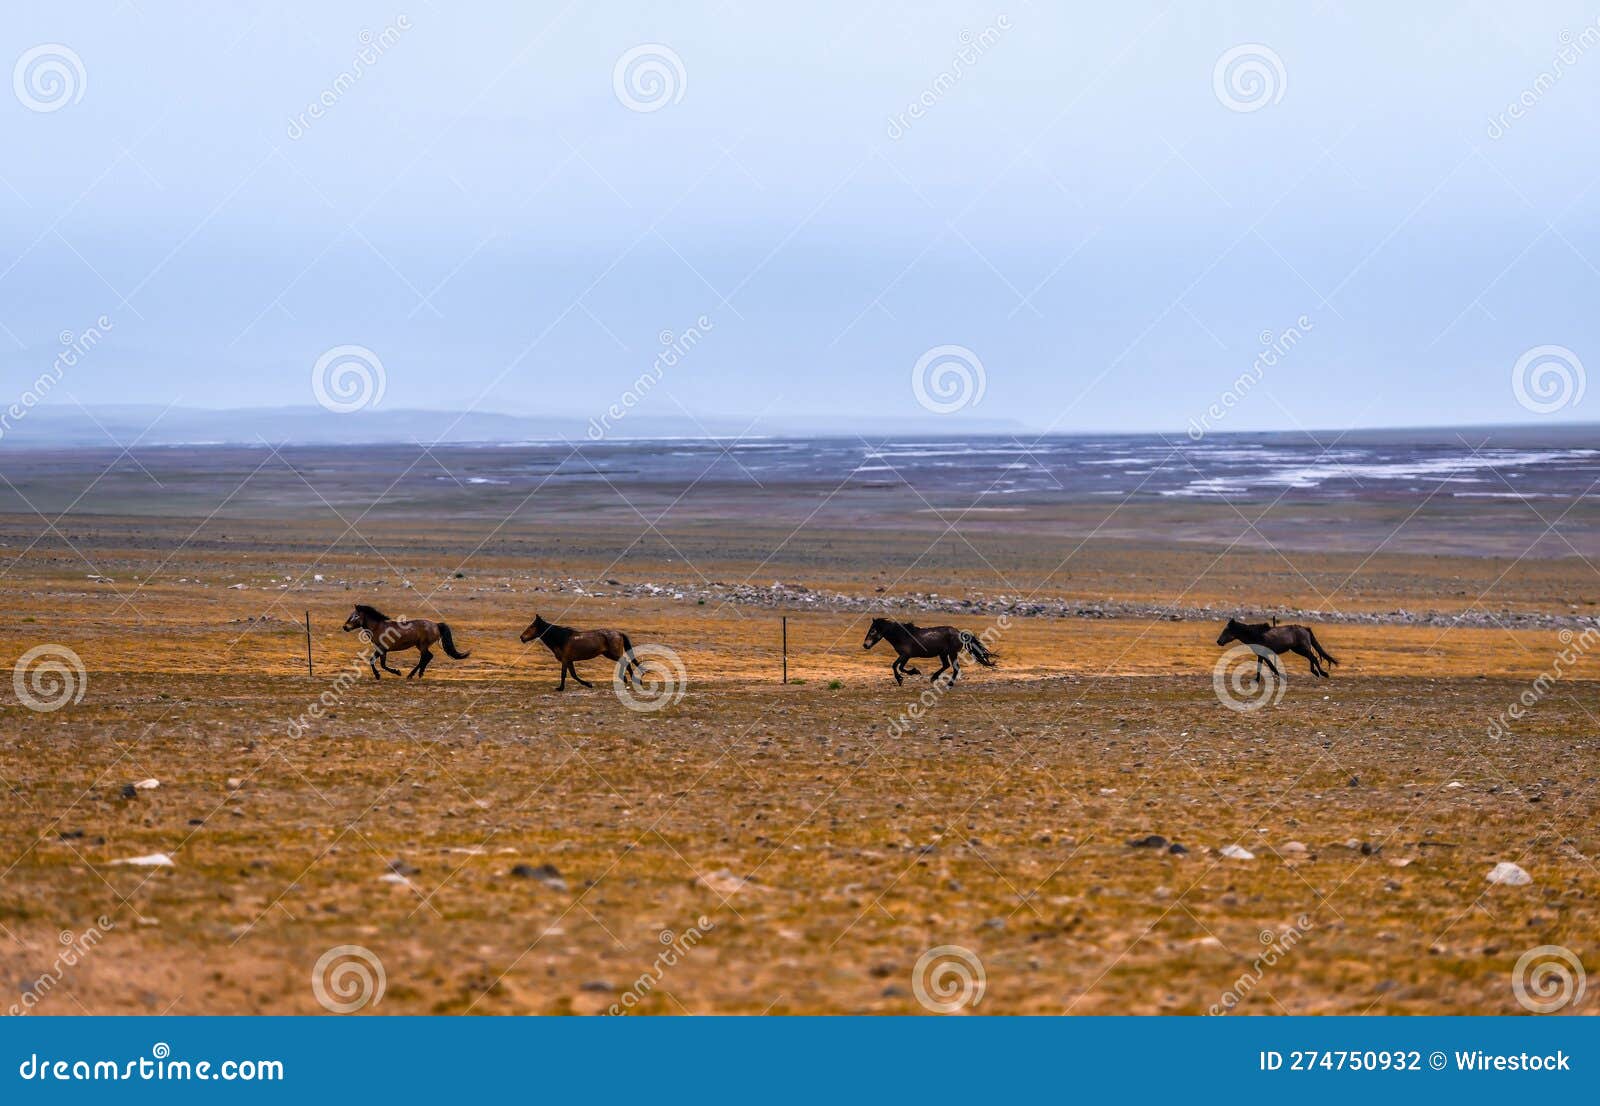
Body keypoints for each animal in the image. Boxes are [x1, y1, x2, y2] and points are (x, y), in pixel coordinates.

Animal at [341, 604, 470, 680]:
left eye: (355, 616)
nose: (345, 627)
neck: (378, 627)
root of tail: (436, 625)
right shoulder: (382, 649)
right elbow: (377, 662)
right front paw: (384, 674)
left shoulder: (382, 648)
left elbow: (378, 663)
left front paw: (393, 673)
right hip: (420, 645)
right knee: (427, 657)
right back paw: (418, 674)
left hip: (422, 645)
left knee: (425, 657)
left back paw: (412, 675)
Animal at [862, 617, 997, 686]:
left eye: (873, 631)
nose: (865, 645)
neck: (902, 636)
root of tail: (959, 633)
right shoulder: (905, 656)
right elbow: (898, 666)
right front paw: (907, 675)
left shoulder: (906, 655)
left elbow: (896, 666)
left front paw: (905, 677)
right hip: (943, 654)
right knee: (946, 665)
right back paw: (933, 678)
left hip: (952, 653)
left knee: (955, 668)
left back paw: (949, 684)